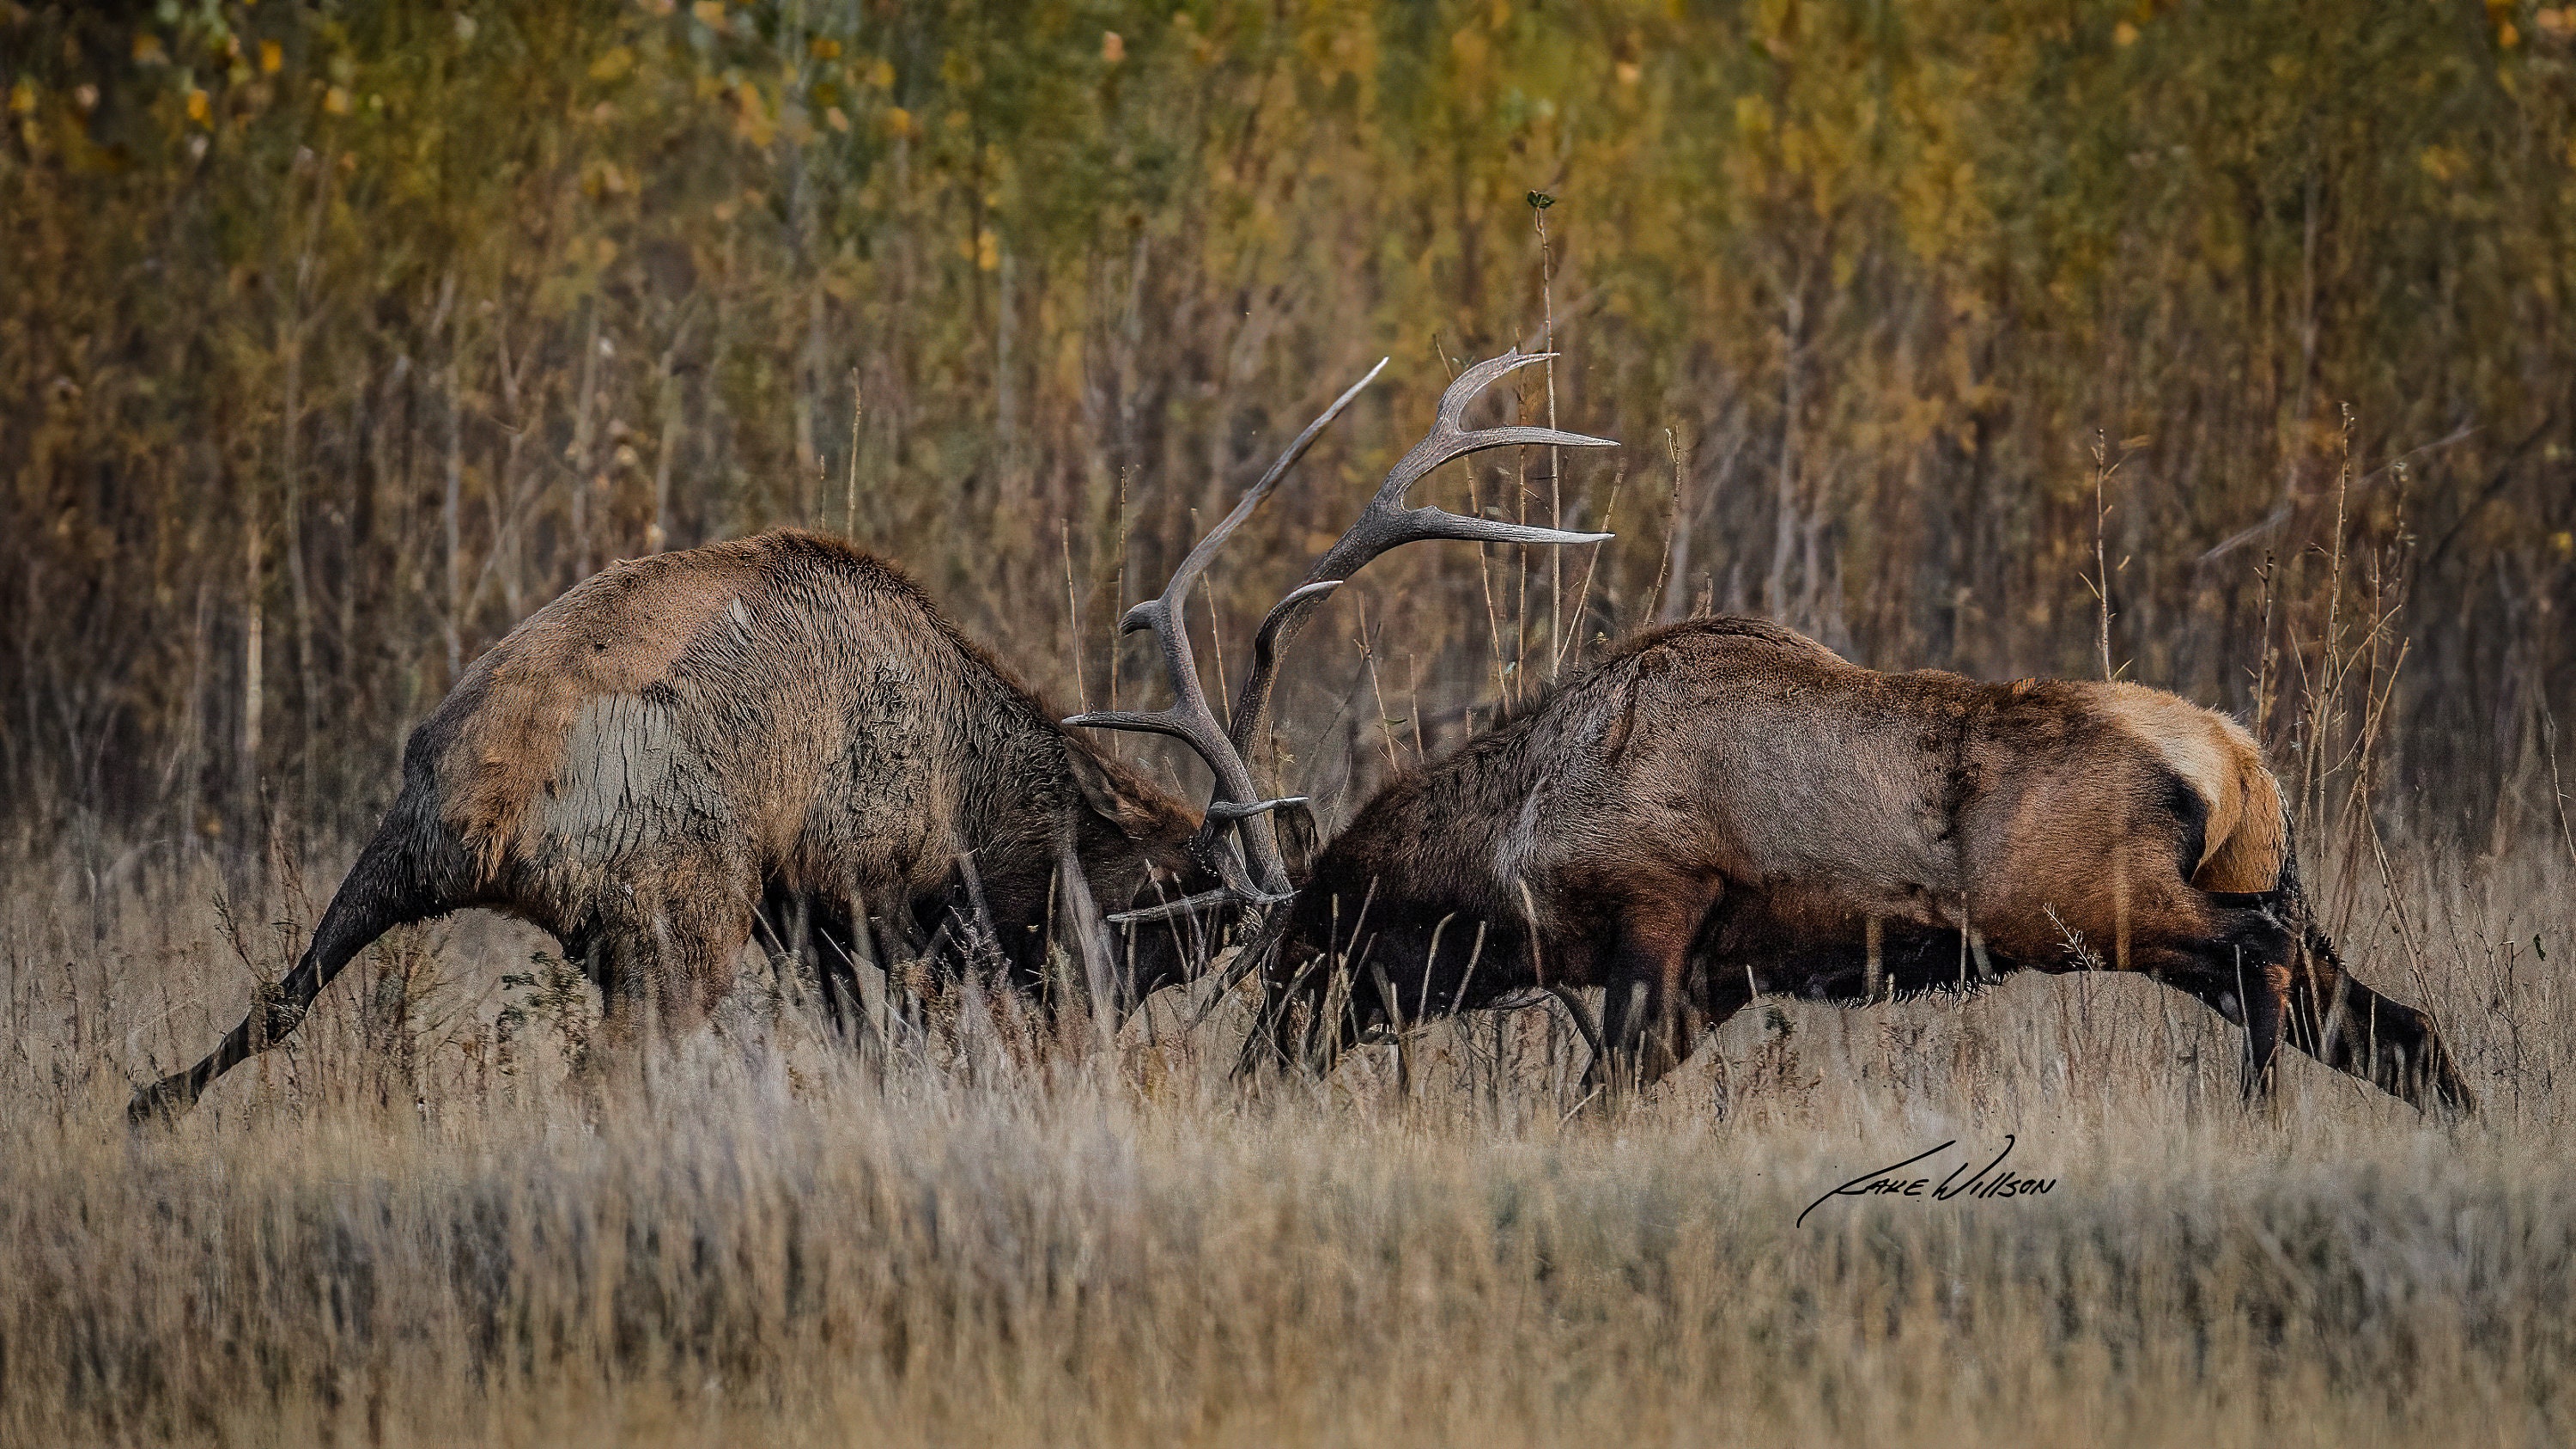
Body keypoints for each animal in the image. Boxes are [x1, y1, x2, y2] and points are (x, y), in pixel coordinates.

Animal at [131, 350, 1609, 1122]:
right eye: (1174, 931)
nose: (1084, 1043)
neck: (975, 790)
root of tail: (487, 801)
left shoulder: (828, 922)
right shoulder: (845, 895)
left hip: (386, 862)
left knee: (257, 1012)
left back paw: (145, 1103)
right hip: (680, 911)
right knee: (615, 1066)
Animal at [1232, 615, 2473, 1114]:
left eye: (1314, 941)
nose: (1250, 1071)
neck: (1529, 834)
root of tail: (2241, 756)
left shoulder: (1659, 916)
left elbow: (1589, 1095)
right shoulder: (1720, 978)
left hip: (2105, 910)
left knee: (2274, 961)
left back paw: (2253, 1112)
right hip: (2237, 898)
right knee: (2400, 1025)